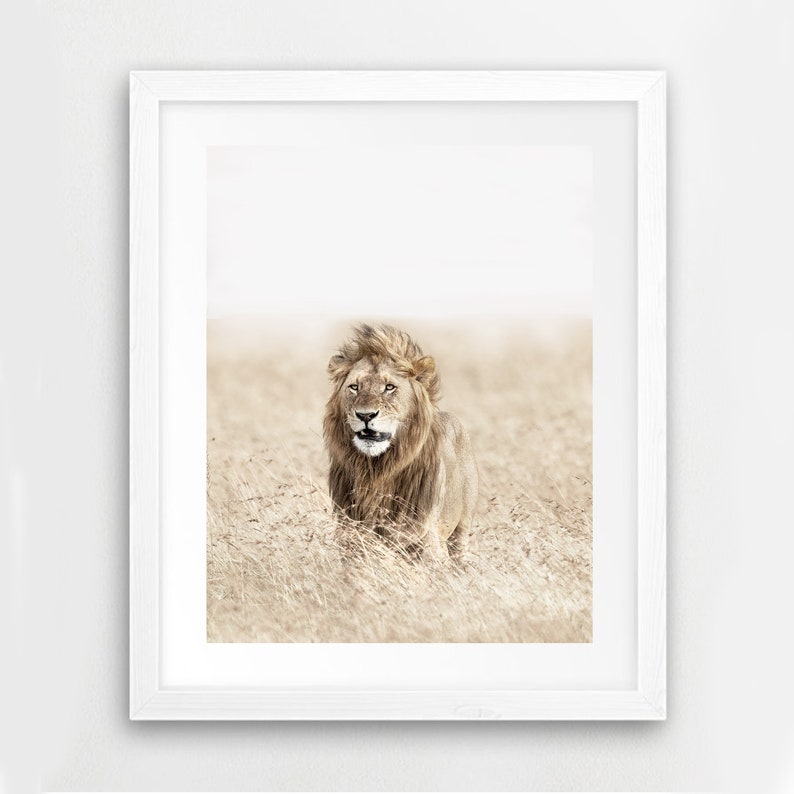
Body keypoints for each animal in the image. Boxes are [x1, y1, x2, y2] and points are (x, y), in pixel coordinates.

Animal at [323, 324, 478, 560]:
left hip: (461, 530)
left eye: (389, 387)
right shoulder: (350, 534)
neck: (376, 470)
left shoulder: (426, 539)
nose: (365, 415)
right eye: (354, 387)